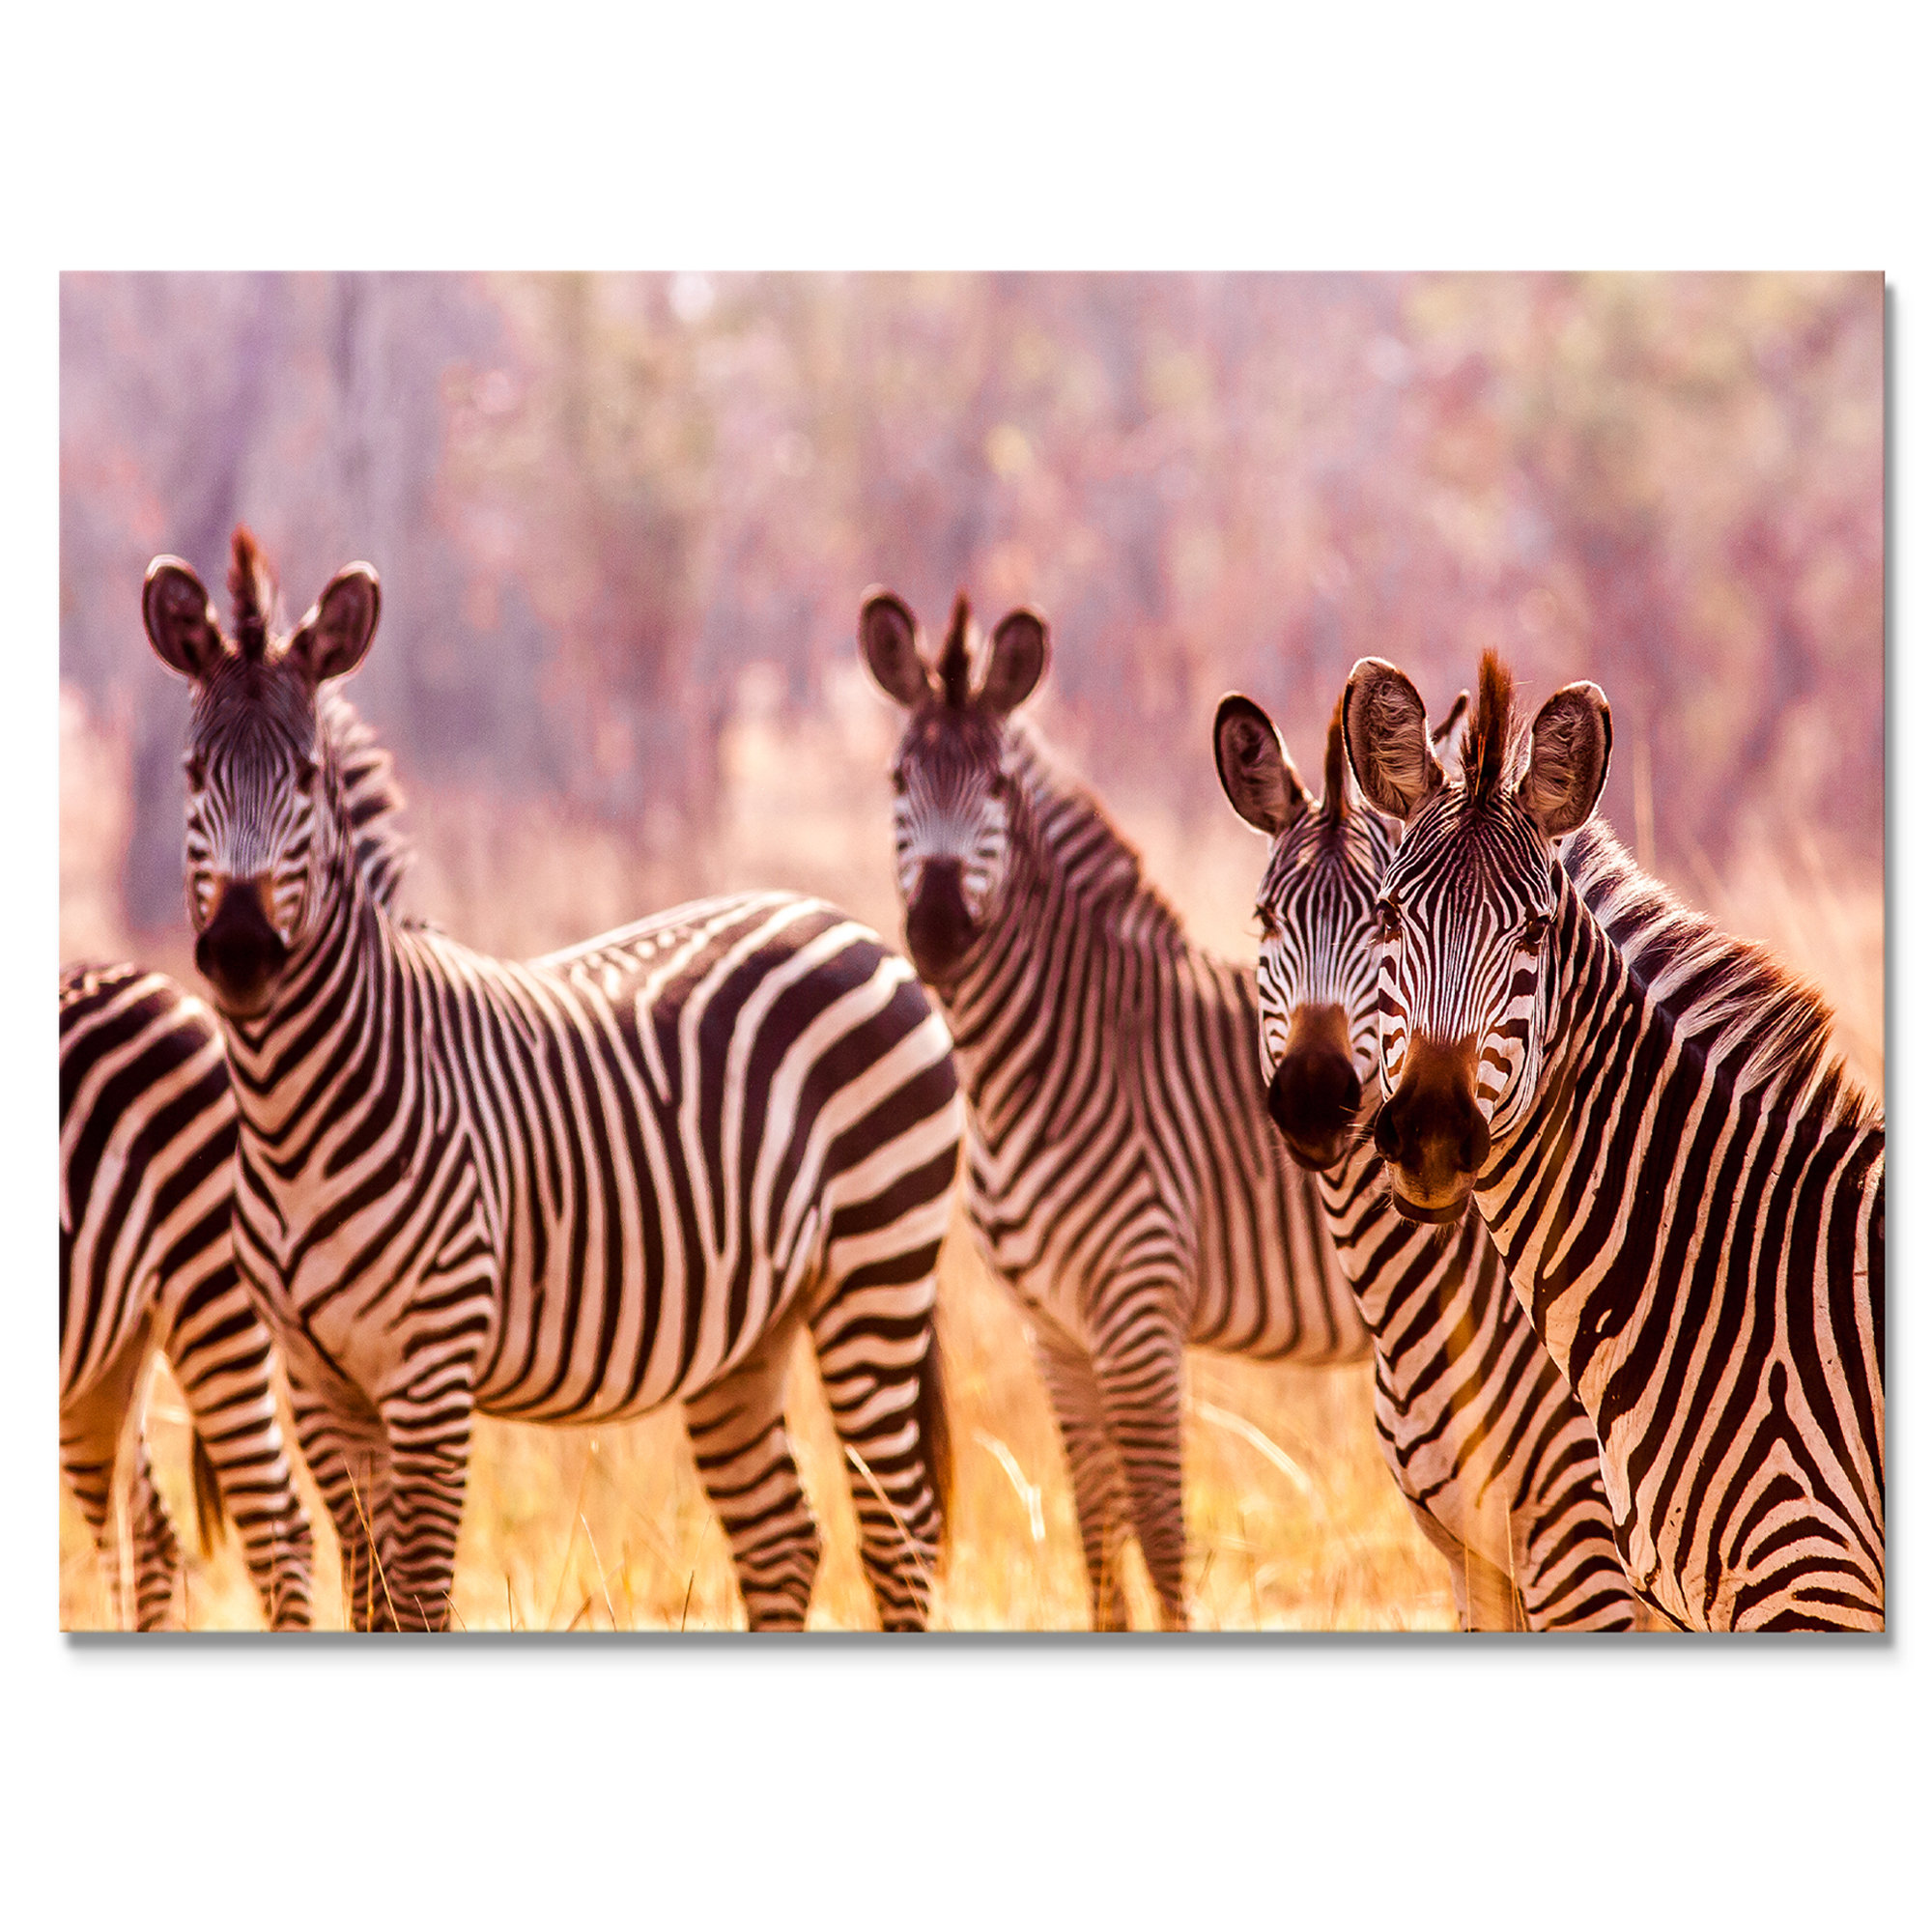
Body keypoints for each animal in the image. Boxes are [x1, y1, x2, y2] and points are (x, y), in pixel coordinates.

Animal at [140, 528, 963, 1632]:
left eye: (307, 778)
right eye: (193, 772)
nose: (237, 952)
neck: (292, 1107)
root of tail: (845, 922)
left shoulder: (431, 1370)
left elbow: (418, 1597)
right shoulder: (320, 1385)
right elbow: (369, 1593)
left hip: (877, 1266)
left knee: (897, 1530)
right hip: (750, 1326)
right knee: (783, 1539)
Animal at [860, 589, 1369, 1630]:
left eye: (997, 789)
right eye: (897, 778)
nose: (936, 930)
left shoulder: (1139, 1310)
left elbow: (1161, 1531)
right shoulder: (1054, 1330)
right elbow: (1096, 1530)